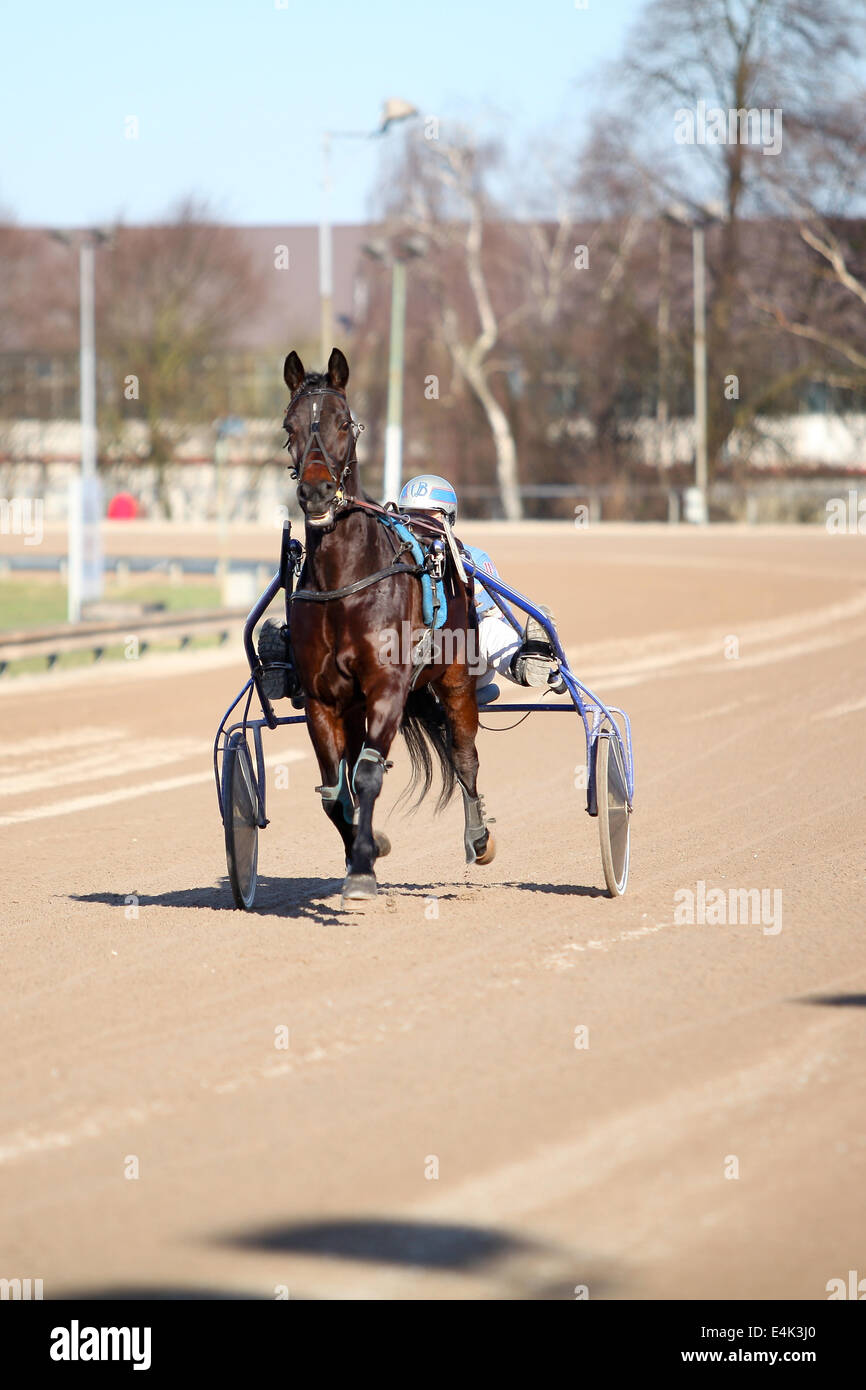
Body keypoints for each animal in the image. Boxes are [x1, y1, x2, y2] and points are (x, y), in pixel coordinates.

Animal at [282, 346, 496, 902]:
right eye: (290, 425)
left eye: (344, 423)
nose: (316, 492)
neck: (346, 580)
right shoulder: (323, 699)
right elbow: (335, 792)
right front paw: (368, 848)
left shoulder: (386, 688)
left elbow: (369, 777)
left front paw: (361, 869)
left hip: (457, 679)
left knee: (466, 756)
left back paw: (478, 838)